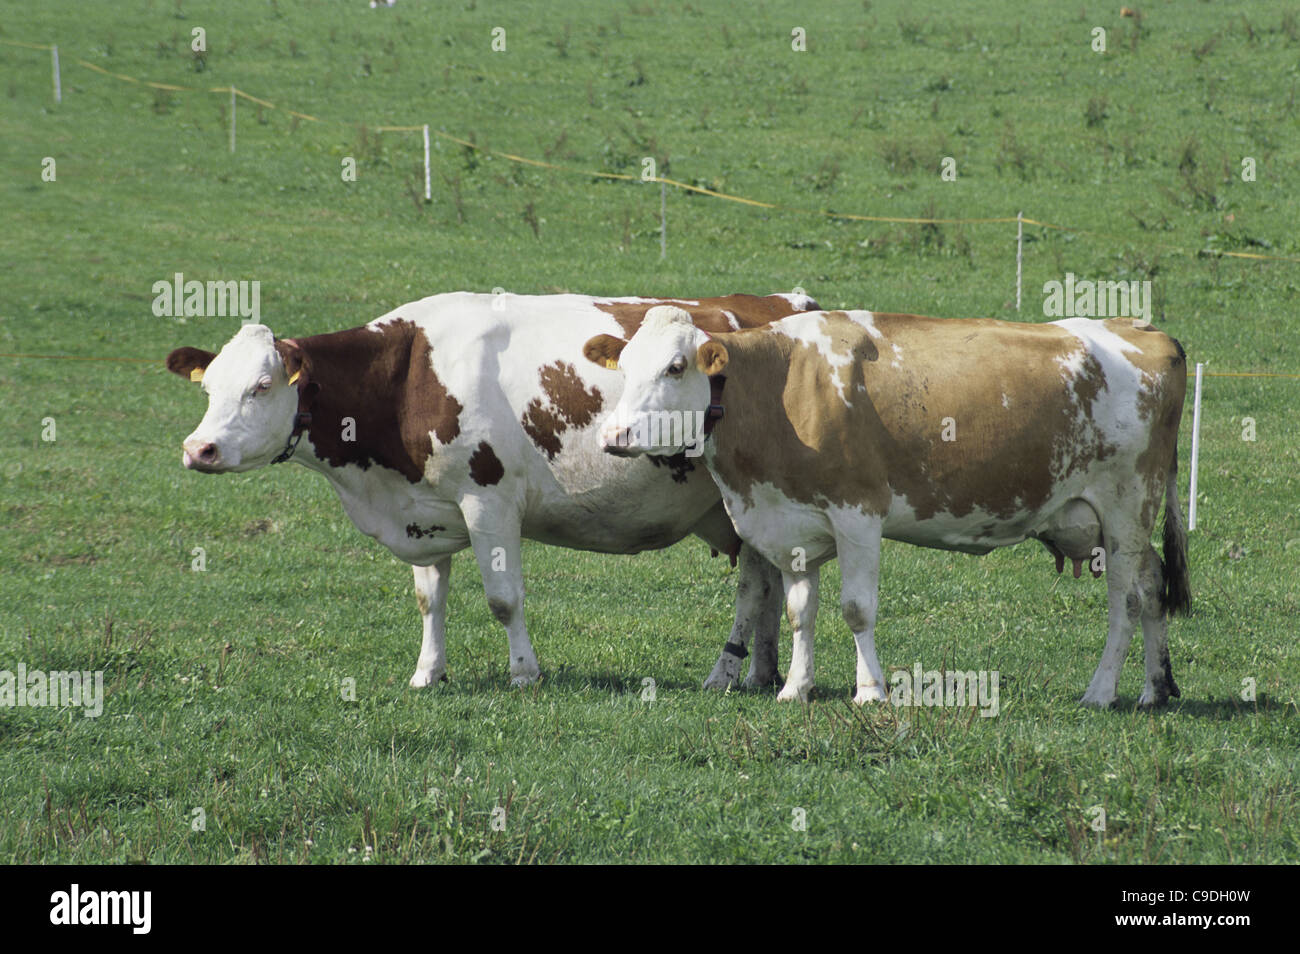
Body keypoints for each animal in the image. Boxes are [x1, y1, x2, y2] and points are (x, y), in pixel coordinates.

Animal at [165, 292, 819, 691]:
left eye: (261, 385)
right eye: (209, 387)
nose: (199, 449)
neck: (409, 377)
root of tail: (786, 303)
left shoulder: (489, 502)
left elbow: (503, 598)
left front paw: (524, 673)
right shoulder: (426, 510)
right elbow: (429, 599)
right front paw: (427, 674)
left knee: (751, 587)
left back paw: (724, 674)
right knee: (766, 581)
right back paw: (760, 672)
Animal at [585, 306, 1191, 708]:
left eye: (675, 367)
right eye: (625, 367)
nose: (614, 436)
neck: (778, 386)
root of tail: (1144, 329)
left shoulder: (858, 514)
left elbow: (857, 609)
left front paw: (870, 691)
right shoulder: (791, 523)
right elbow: (799, 610)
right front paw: (795, 688)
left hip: (1126, 507)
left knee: (1127, 600)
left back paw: (1101, 691)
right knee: (1153, 584)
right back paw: (1155, 688)